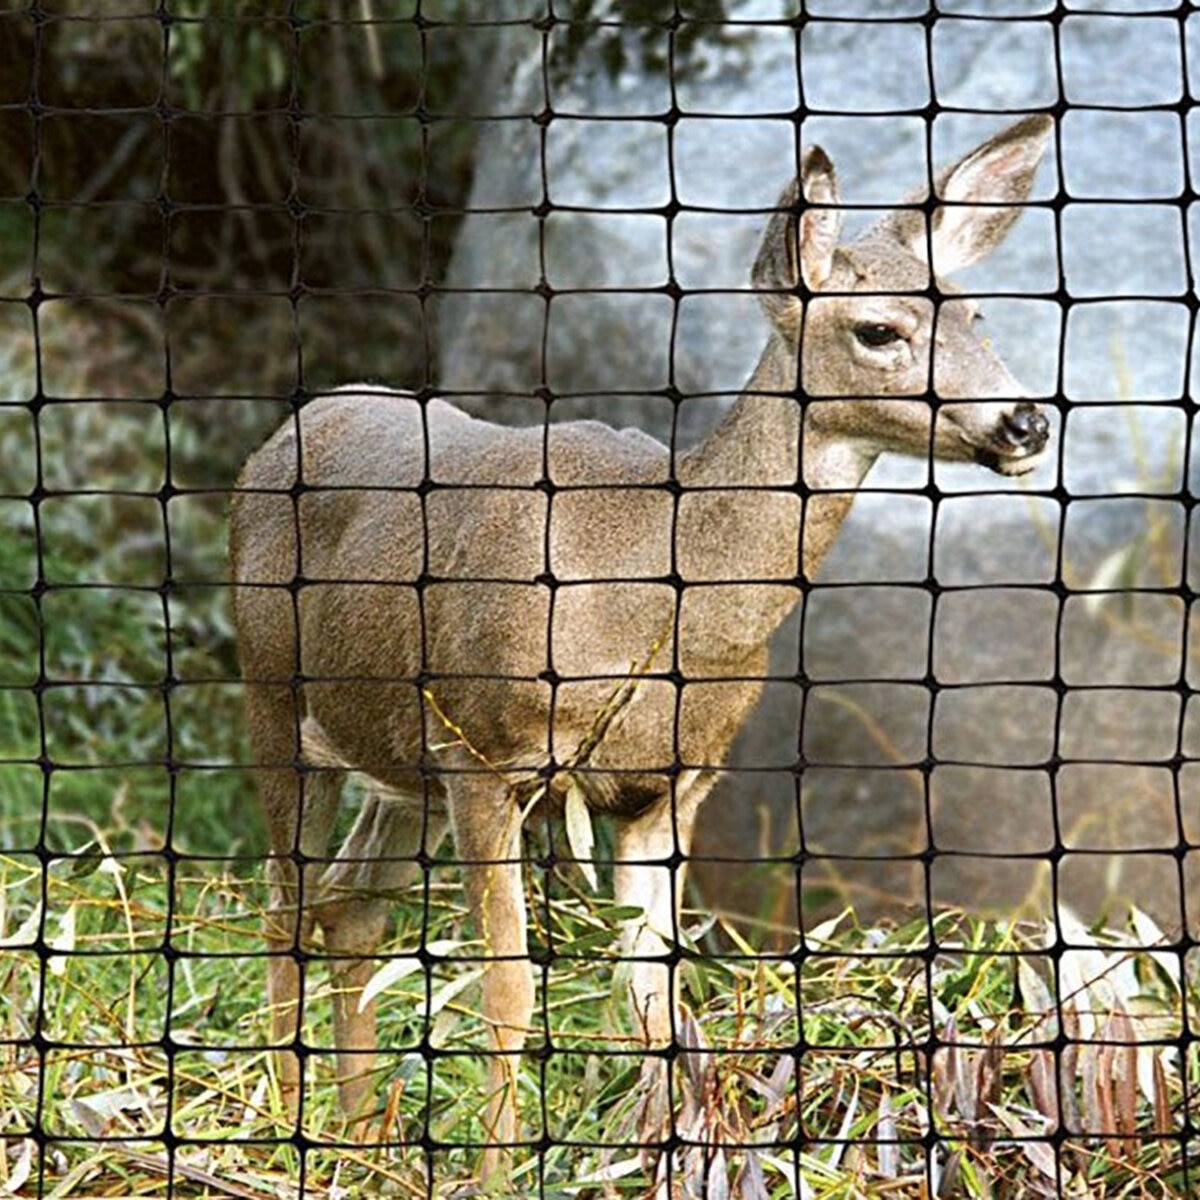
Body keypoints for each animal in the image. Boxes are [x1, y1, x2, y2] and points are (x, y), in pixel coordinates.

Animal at [229, 114, 1053, 1178]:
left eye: (978, 316)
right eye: (879, 330)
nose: (1025, 421)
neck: (659, 593)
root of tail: (294, 424)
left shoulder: (671, 786)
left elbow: (655, 1001)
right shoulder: (484, 754)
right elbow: (509, 989)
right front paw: (500, 1175)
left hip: (396, 763)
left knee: (348, 908)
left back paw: (361, 1135)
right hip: (276, 702)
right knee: (284, 905)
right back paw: (287, 1129)